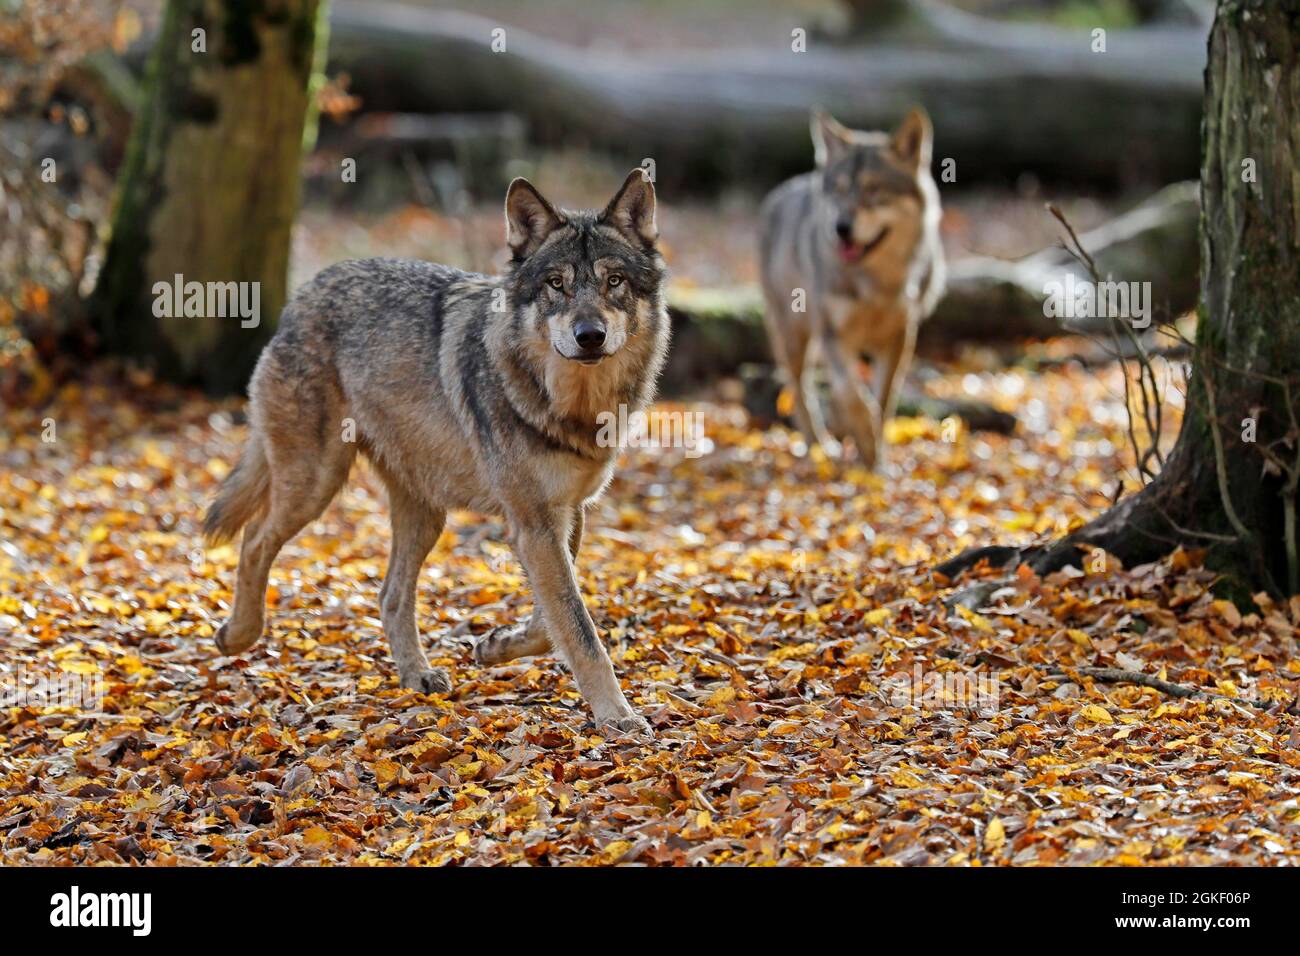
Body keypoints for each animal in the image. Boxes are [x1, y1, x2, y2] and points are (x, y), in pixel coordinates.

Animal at [203, 170, 669, 735]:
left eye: (614, 281)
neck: (571, 406)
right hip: (315, 484)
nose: (590, 335)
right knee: (254, 541)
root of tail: (307, 290)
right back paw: (239, 635)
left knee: (389, 595)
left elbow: (551, 617)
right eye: (556, 284)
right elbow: (580, 630)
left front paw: (498, 646)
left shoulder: (565, 515)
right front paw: (618, 717)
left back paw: (417, 675)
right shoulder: (534, 523)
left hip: (426, 515)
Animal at [758, 107, 944, 467]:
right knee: (802, 390)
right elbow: (854, 395)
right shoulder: (833, 333)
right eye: (840, 190)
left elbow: (883, 400)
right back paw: (819, 443)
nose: (841, 228)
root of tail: (783, 190)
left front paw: (873, 453)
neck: (876, 286)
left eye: (873, 190)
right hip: (795, 338)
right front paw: (867, 443)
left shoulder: (900, 337)